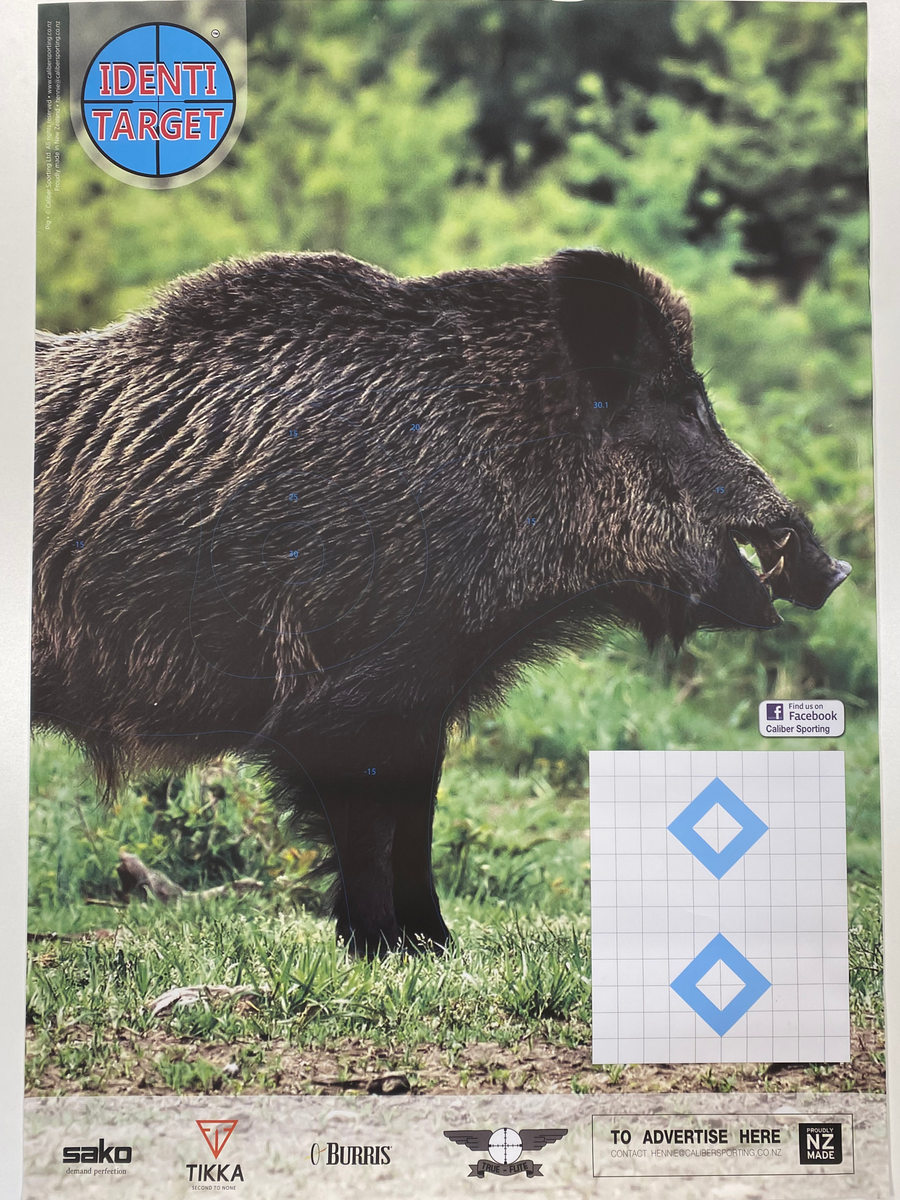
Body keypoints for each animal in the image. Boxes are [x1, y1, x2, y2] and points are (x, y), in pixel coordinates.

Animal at [32, 248, 850, 953]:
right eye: (685, 407)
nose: (834, 568)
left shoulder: (422, 700)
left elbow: (414, 826)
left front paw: (435, 946)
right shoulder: (345, 701)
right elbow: (370, 835)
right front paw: (384, 950)